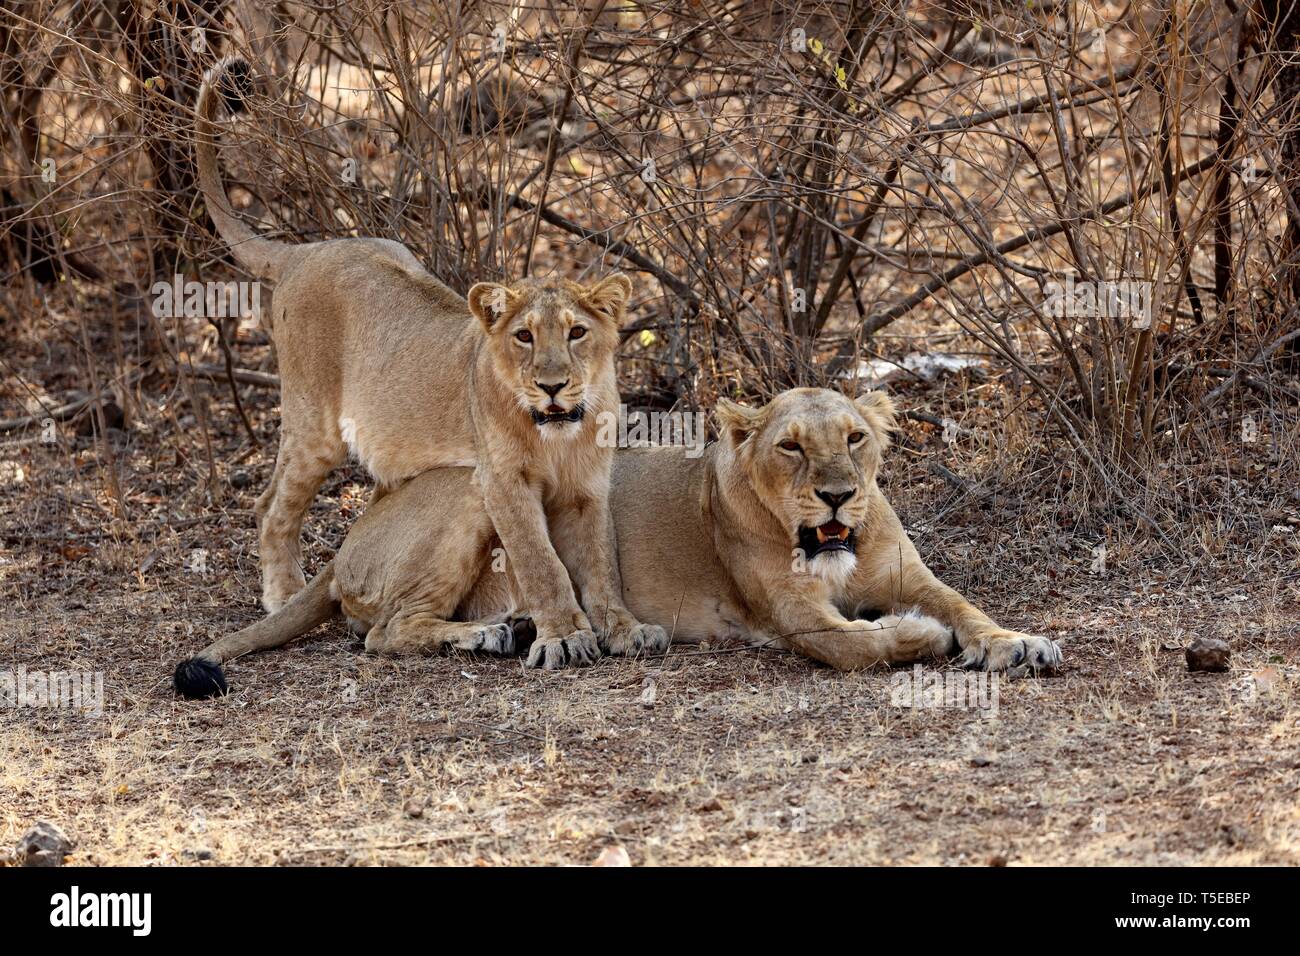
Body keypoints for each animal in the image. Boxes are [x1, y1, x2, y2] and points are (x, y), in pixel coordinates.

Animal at [172, 388, 1061, 696]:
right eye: (791, 448)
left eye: (855, 439)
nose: (841, 493)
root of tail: (347, 538)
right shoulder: (788, 616)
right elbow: (859, 646)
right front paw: (916, 637)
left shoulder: (911, 571)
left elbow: (968, 607)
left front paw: (1019, 644)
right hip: (476, 494)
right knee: (388, 633)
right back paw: (496, 634)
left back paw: (513, 628)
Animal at [188, 56, 665, 676]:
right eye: (524, 337)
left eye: (577, 333)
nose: (553, 386)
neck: (558, 432)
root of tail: (307, 251)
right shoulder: (501, 483)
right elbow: (542, 563)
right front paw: (563, 636)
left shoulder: (589, 486)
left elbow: (603, 567)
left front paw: (625, 630)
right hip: (332, 433)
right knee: (285, 523)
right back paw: (295, 597)